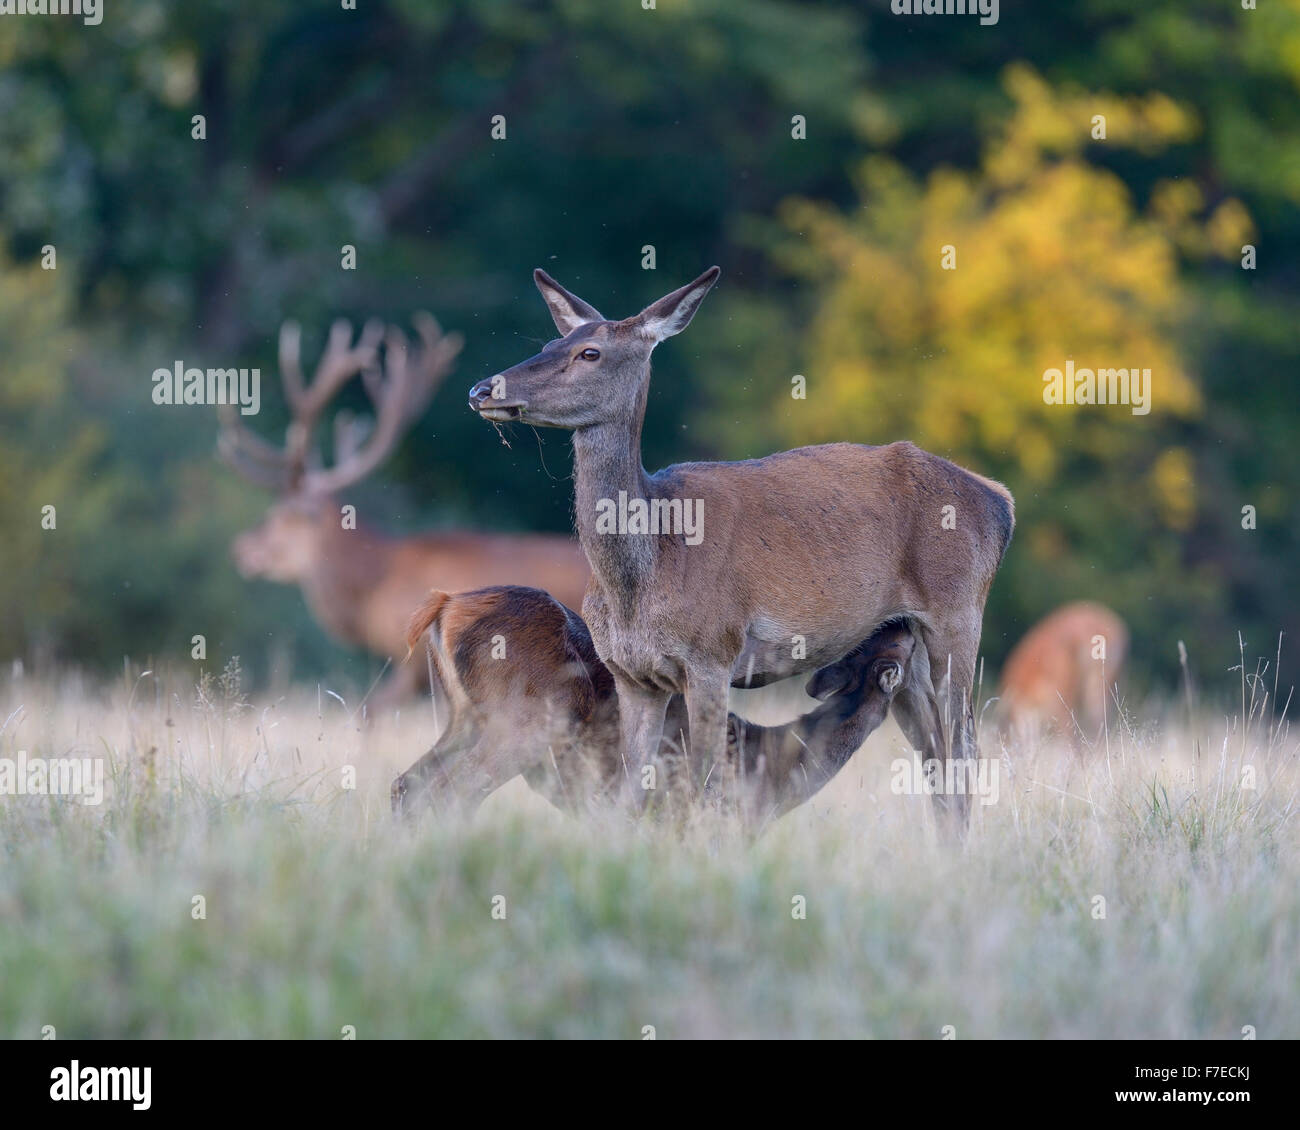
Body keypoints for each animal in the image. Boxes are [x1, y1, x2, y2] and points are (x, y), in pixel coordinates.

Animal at [390, 585, 916, 824]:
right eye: (890, 647)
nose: (904, 621)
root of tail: (446, 605)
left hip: (464, 719)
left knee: (406, 785)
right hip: (528, 722)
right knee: (447, 793)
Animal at [466, 267, 1014, 834]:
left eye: (590, 352)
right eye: (548, 343)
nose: (481, 389)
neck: (644, 575)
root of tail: (1002, 501)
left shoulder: (713, 654)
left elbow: (703, 786)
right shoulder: (631, 675)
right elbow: (631, 792)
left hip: (958, 615)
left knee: (963, 748)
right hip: (905, 638)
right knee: (934, 754)